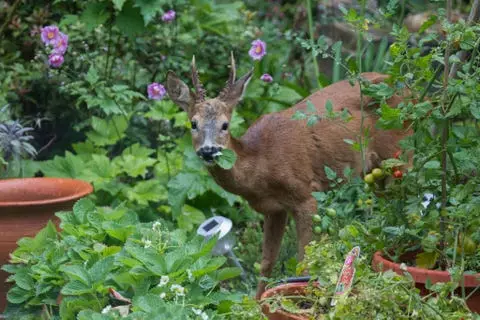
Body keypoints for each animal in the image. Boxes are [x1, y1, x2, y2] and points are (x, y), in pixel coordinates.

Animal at [165, 54, 408, 298]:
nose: (208, 151)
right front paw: (257, 302)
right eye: (193, 123)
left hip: (401, 153)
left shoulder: (306, 196)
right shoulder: (273, 209)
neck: (261, 165)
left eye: (225, 125)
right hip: (375, 172)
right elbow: (266, 262)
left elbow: (304, 261)